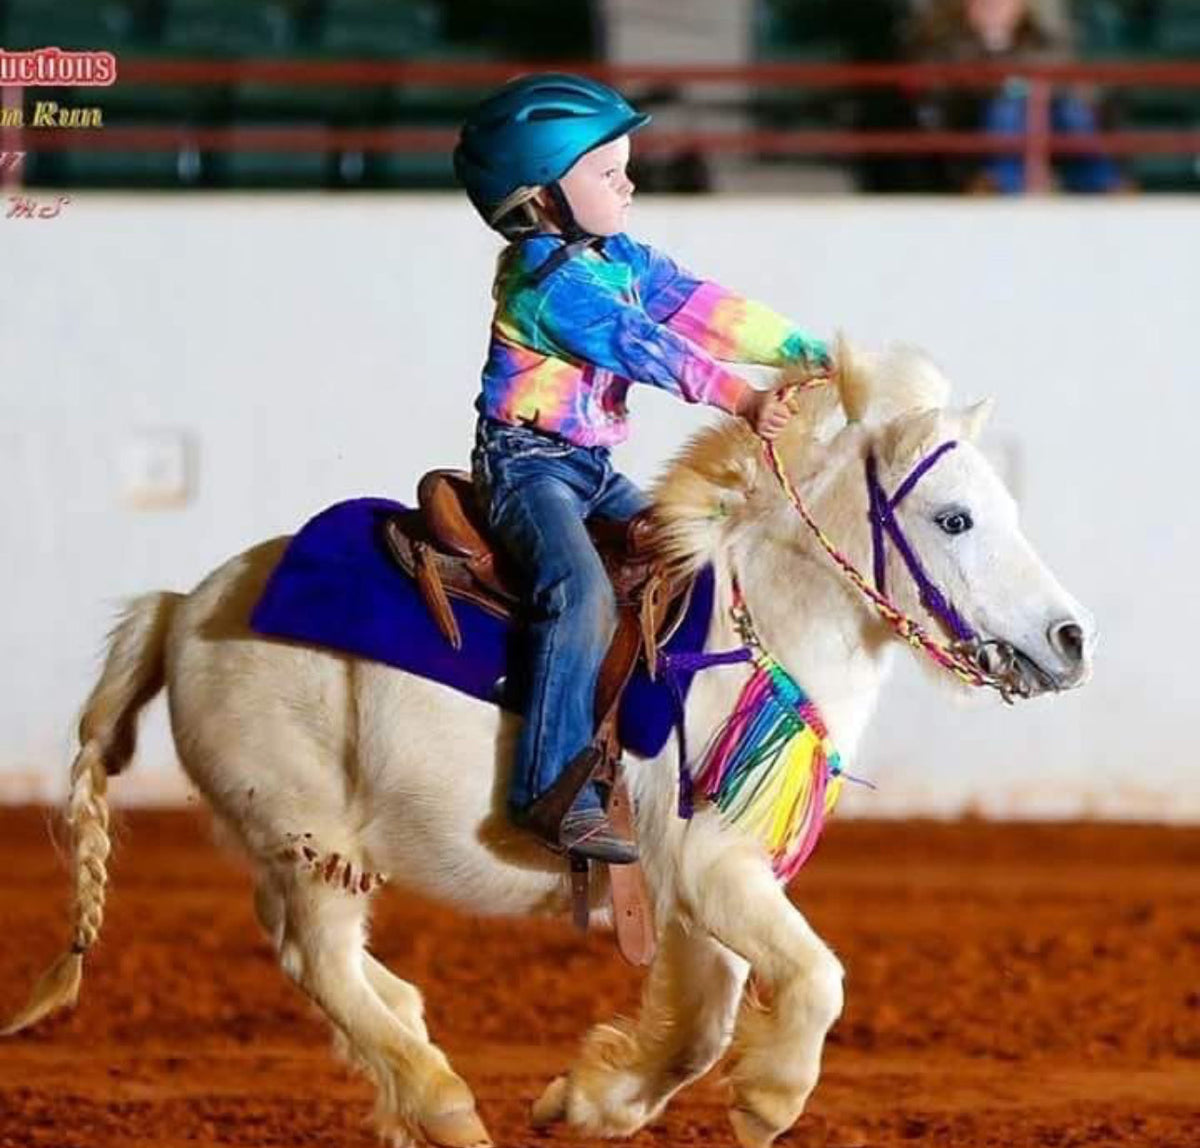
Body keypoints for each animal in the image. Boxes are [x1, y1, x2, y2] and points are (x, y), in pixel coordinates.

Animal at [4, 341, 1095, 1148]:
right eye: (953, 517)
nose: (1070, 638)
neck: (757, 626)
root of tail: (183, 606)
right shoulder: (707, 862)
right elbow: (813, 980)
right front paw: (770, 1097)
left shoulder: (705, 879)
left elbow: (703, 1022)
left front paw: (587, 1099)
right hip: (308, 838)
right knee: (319, 960)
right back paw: (445, 1106)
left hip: (304, 851)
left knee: (342, 971)